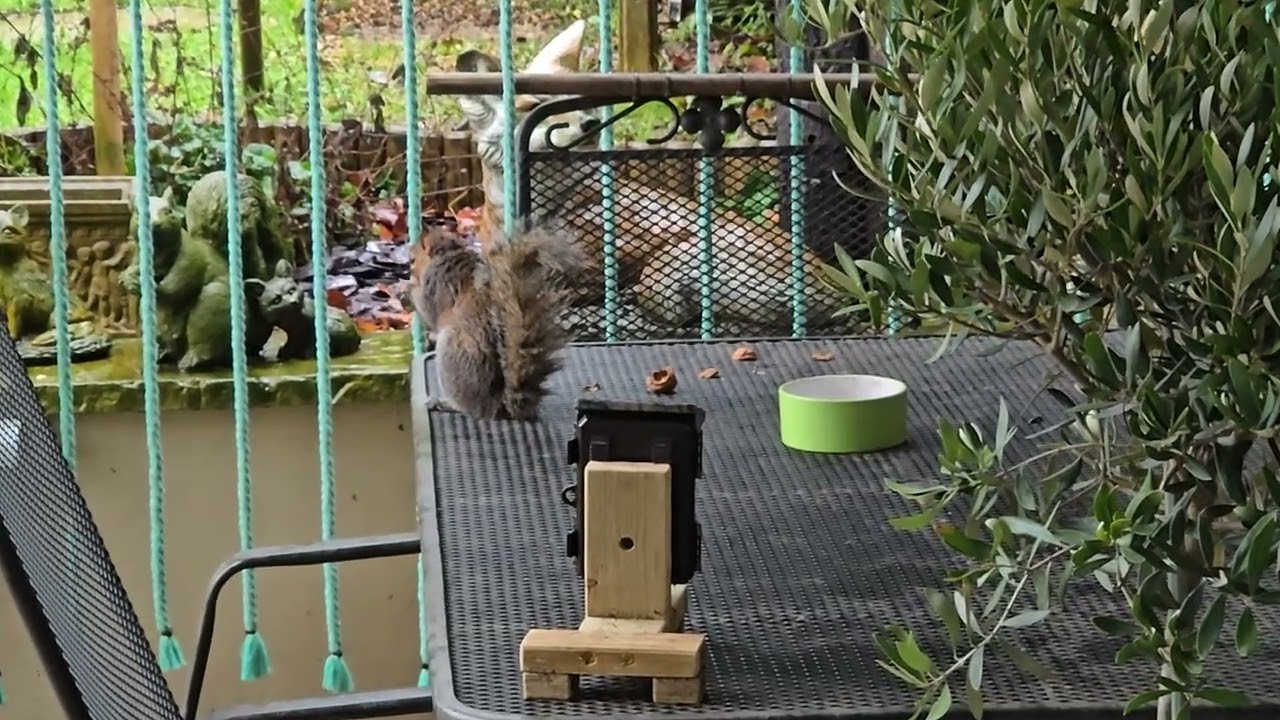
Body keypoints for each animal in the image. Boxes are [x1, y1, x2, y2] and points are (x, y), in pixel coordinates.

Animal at [406, 222, 586, 421]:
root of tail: (499, 405)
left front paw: (407, 290)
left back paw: (445, 403)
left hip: (452, 354)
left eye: (412, 260)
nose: (409, 272)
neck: (448, 252)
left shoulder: (435, 284)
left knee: (471, 408)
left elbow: (427, 310)